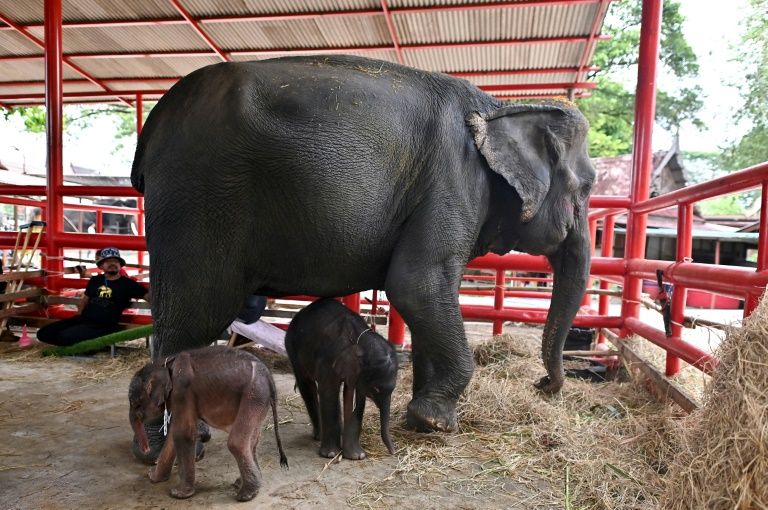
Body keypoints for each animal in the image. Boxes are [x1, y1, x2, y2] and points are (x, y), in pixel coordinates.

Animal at [128, 346, 289, 501]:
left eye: (135, 404)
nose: (146, 449)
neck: (164, 364)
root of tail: (269, 378)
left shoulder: (182, 390)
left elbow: (183, 433)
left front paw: (178, 494)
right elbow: (174, 435)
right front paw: (153, 477)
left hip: (254, 394)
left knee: (237, 443)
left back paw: (245, 495)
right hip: (259, 400)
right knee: (252, 442)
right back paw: (242, 484)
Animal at [131, 54, 595, 433]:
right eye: (588, 186)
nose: (544, 384)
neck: (500, 105)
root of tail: (154, 123)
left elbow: (426, 297)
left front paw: (421, 415)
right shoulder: (454, 183)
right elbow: (417, 284)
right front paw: (436, 423)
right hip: (199, 199)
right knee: (191, 318)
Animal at [285, 298, 398, 460]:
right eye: (376, 389)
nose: (393, 452)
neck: (359, 338)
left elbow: (354, 397)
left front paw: (357, 456)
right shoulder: (328, 358)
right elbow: (329, 392)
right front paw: (331, 454)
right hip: (292, 347)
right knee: (307, 385)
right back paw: (318, 436)